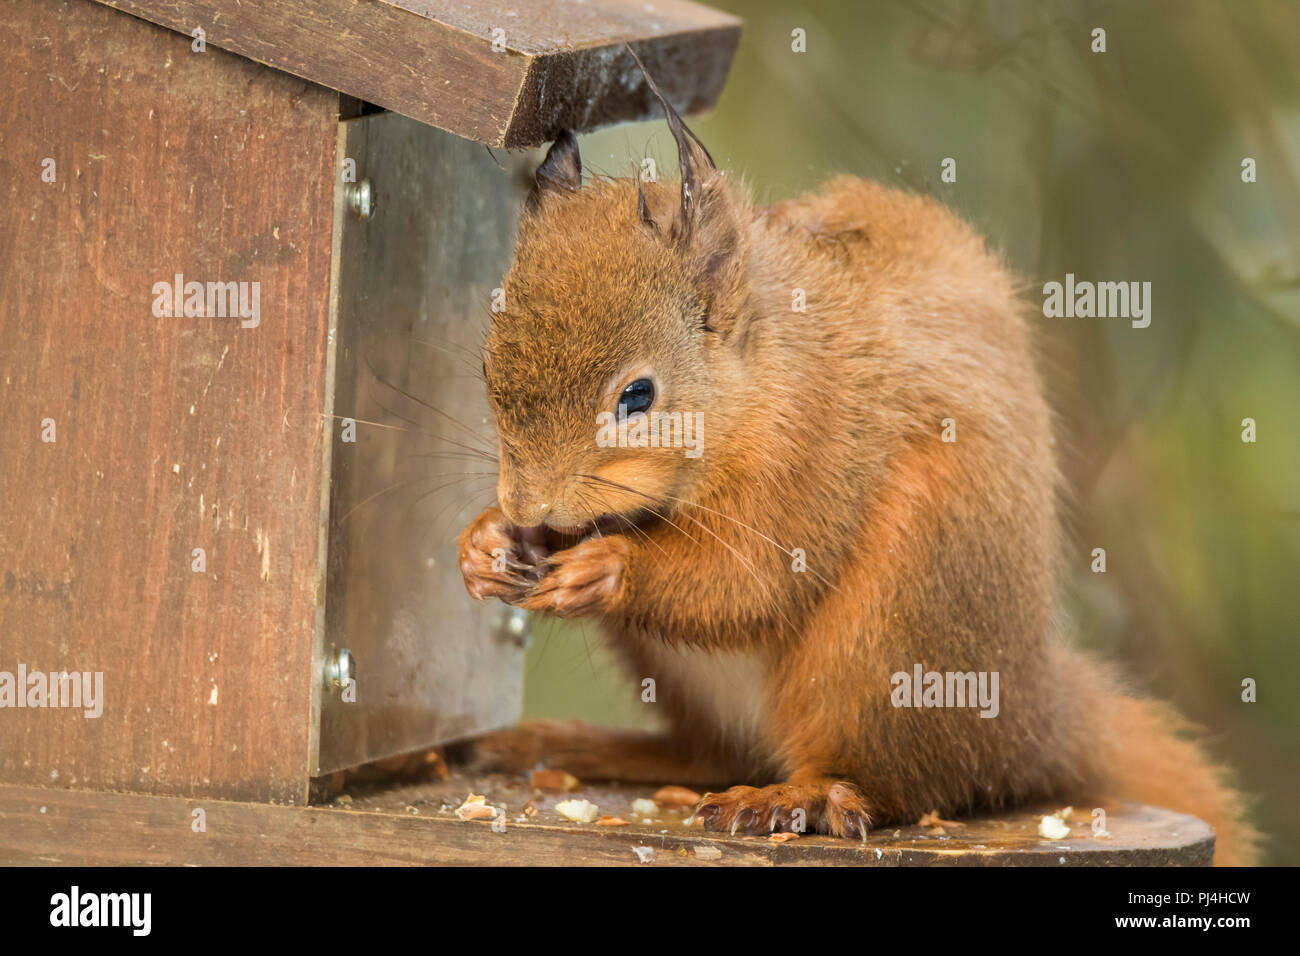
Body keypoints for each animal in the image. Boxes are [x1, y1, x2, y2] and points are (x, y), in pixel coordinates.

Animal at [456, 58, 1257, 865]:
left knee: (892, 779)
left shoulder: (814, 449)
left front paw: (606, 567)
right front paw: (486, 544)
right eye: (486, 368)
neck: (761, 377)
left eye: (639, 395)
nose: (528, 504)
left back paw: (802, 796)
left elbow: (750, 579)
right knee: (712, 753)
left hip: (890, 638)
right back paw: (588, 748)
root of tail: (1032, 722)